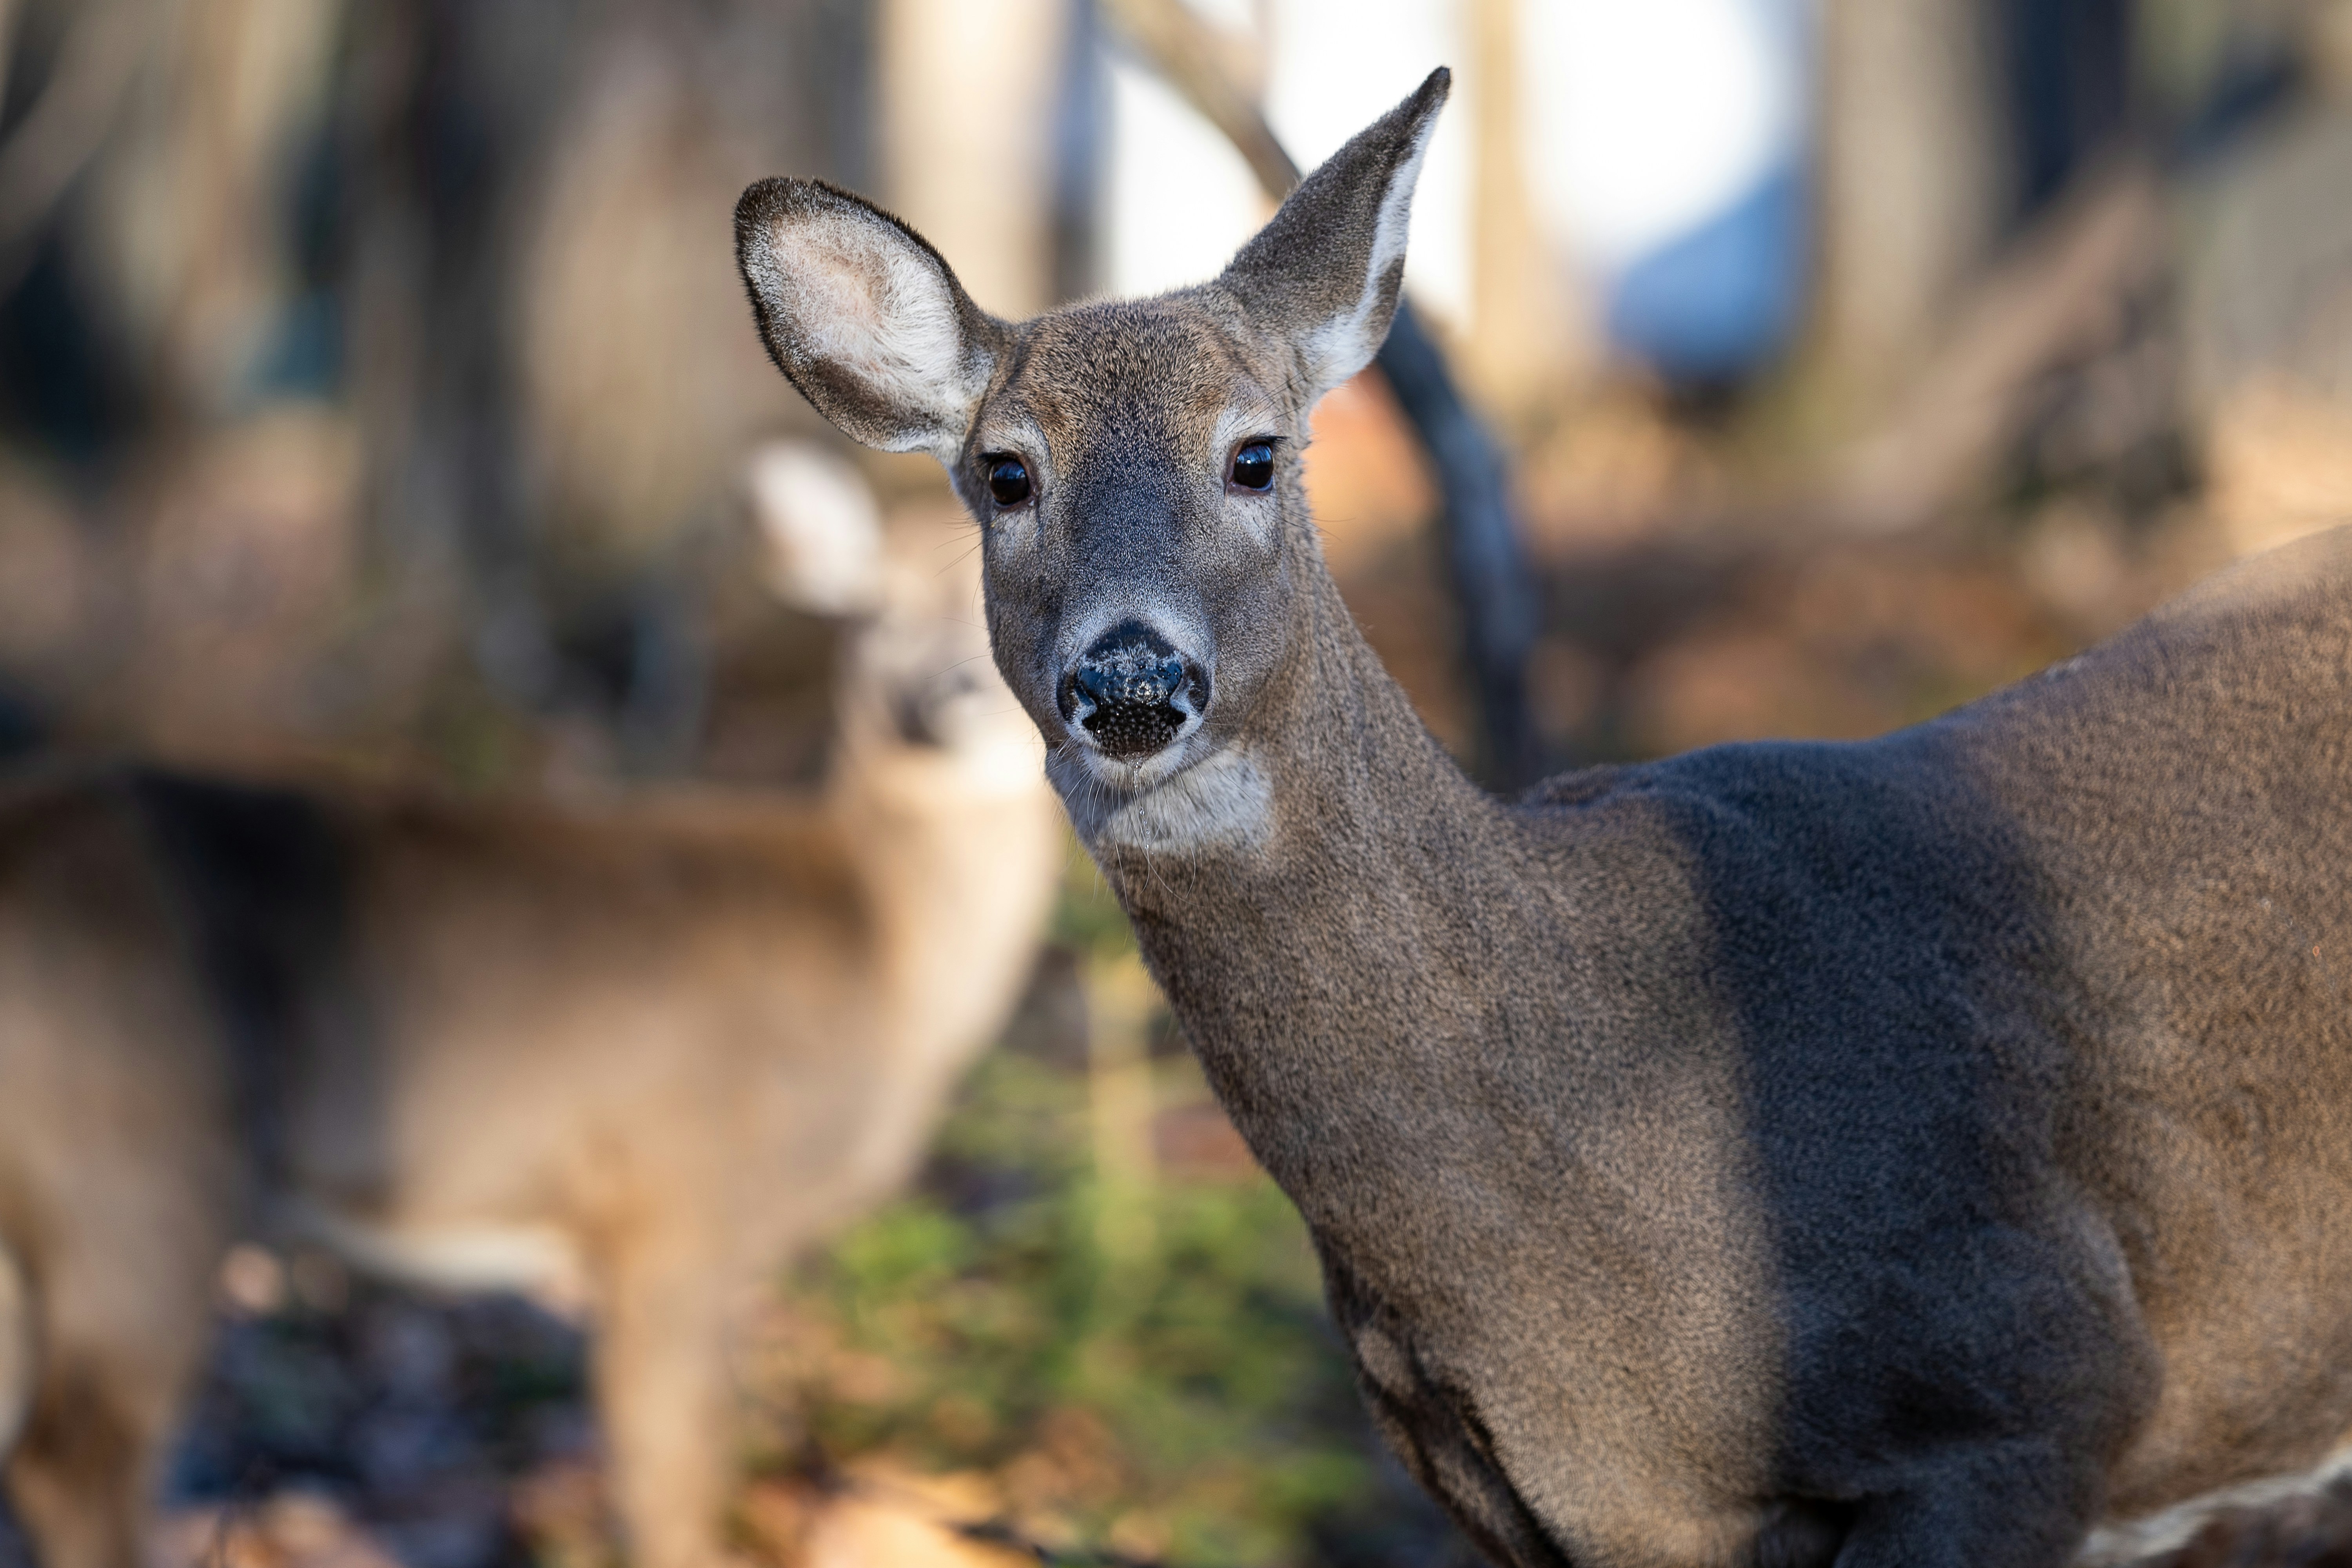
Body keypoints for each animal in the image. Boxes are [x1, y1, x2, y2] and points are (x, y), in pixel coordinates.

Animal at [0, 444, 1066, 1568]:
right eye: (873, 608)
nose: (952, 696)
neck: (878, 948)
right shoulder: (673, 1194)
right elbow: (672, 1478)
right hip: (135, 1161)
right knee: (79, 1458)